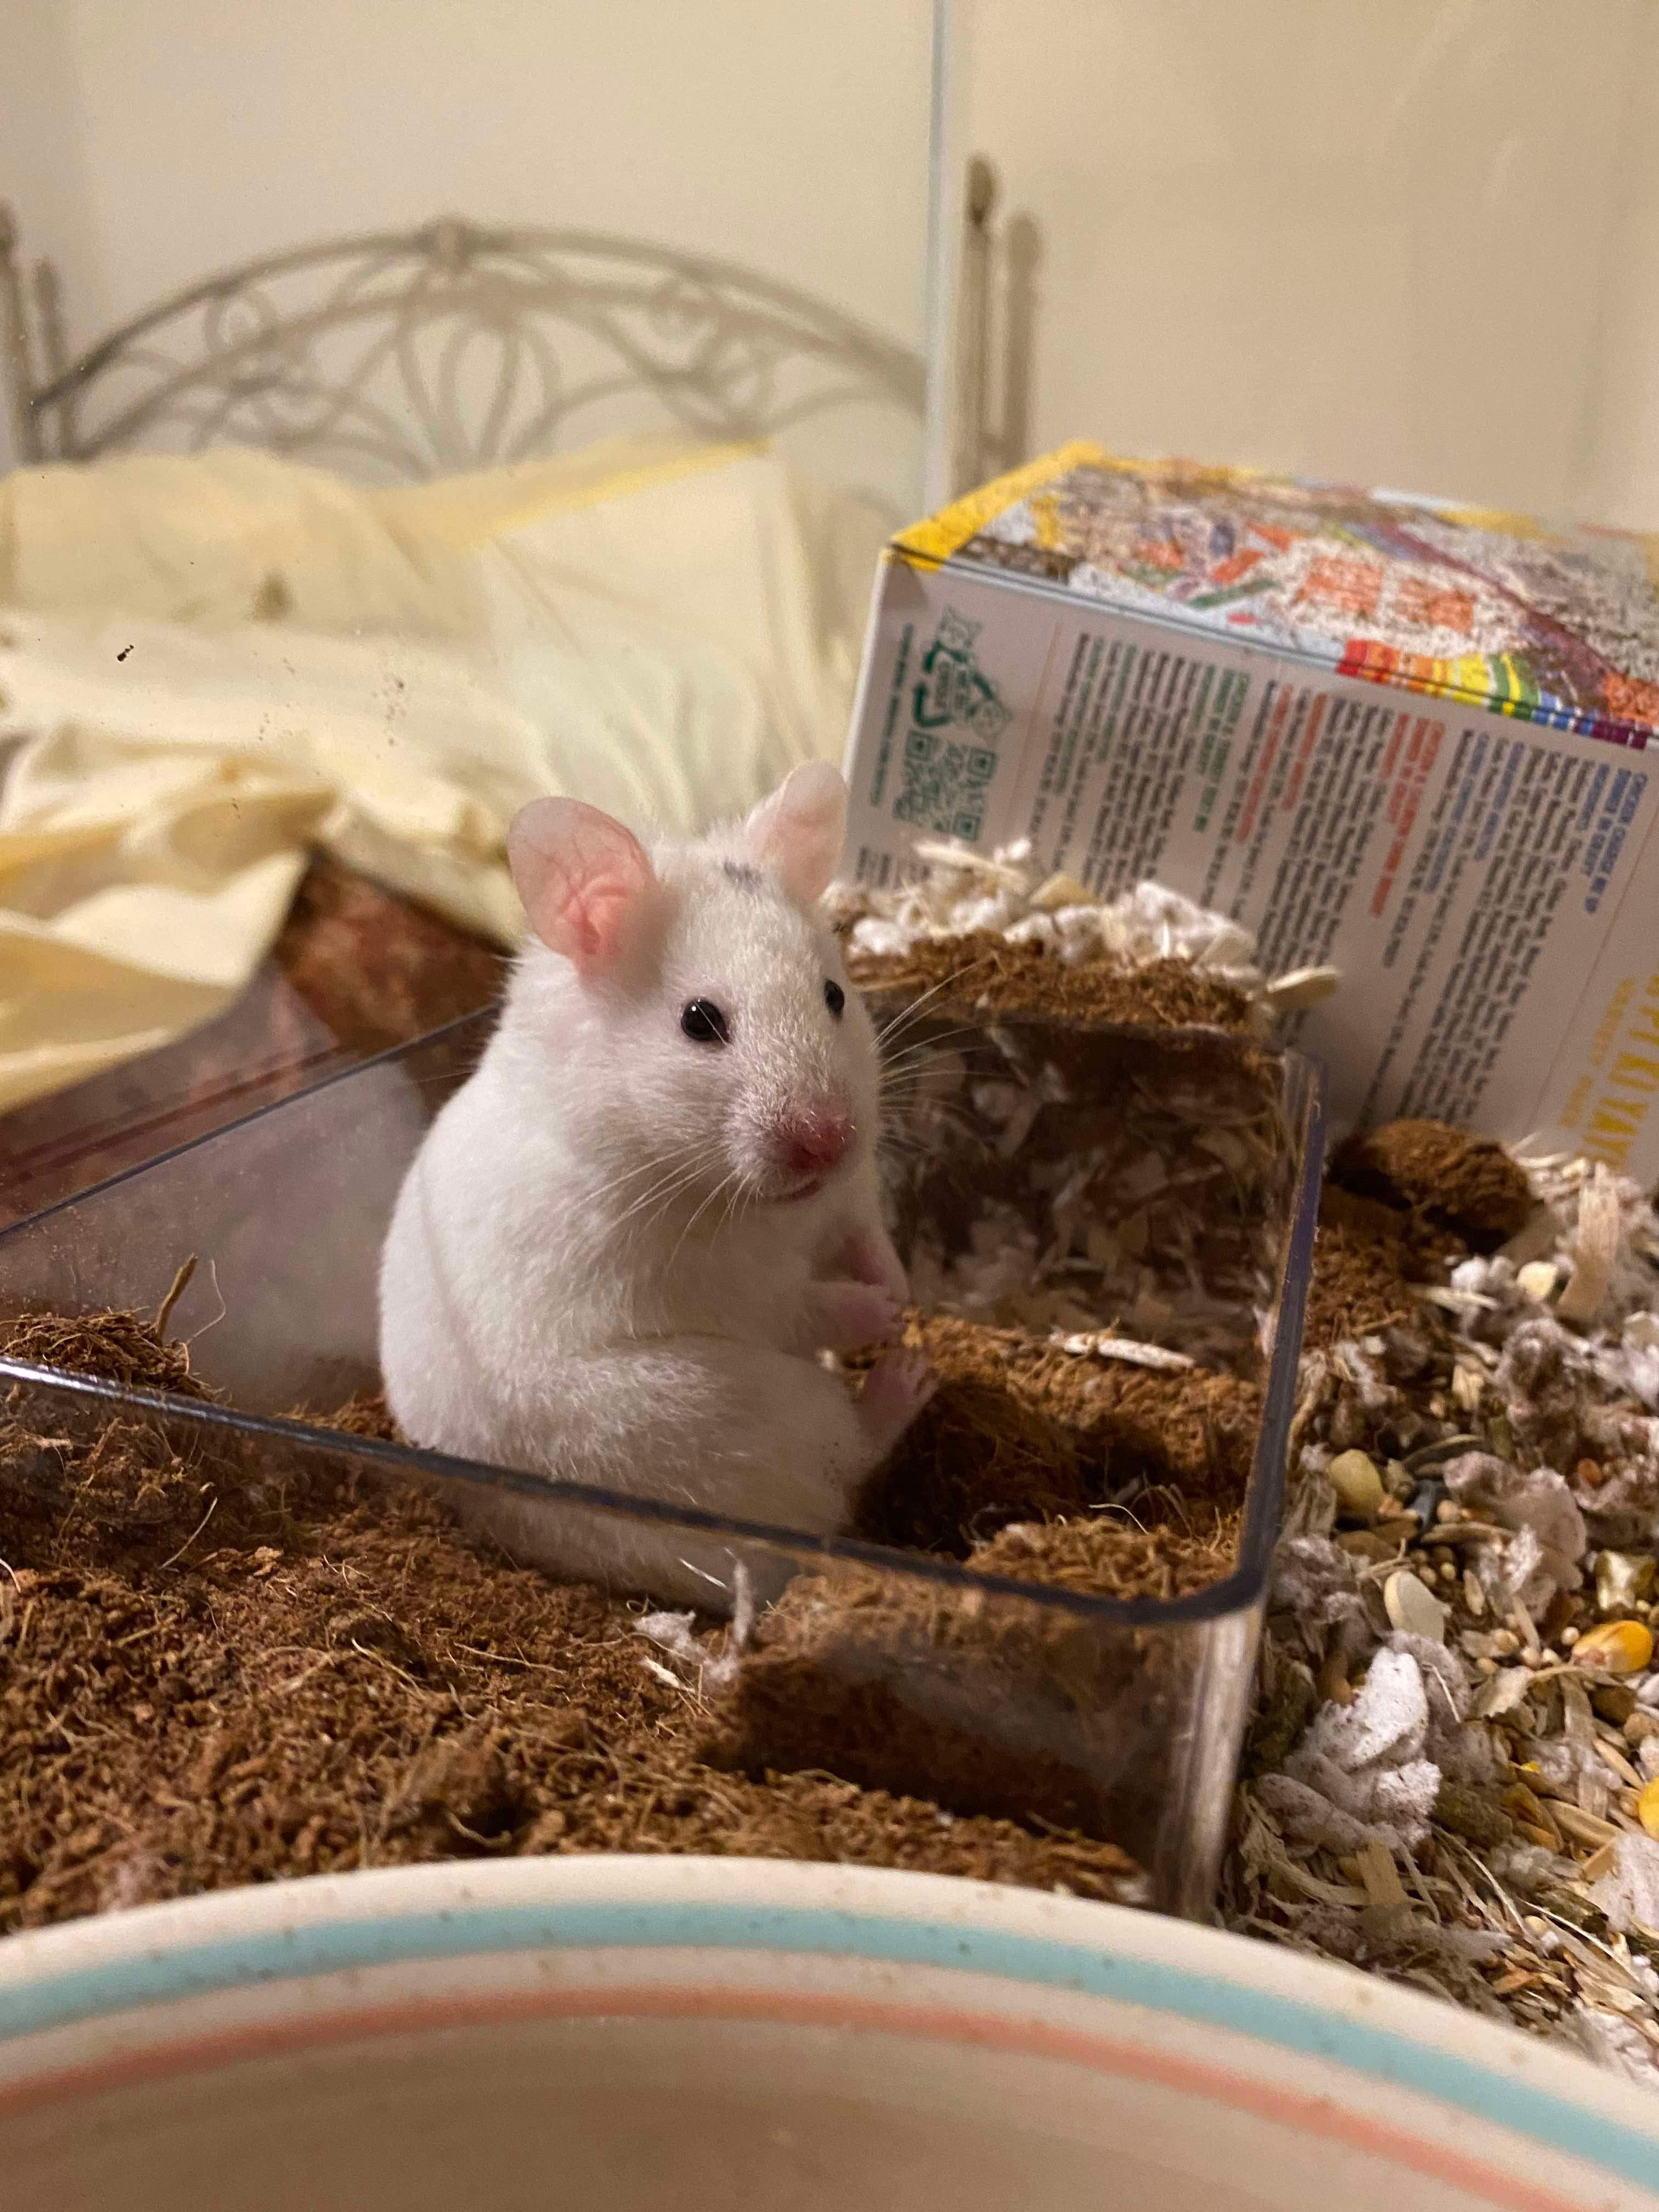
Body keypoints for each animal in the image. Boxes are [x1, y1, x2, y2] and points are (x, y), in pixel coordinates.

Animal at [377, 760, 934, 1607]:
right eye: (699, 1021)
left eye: (835, 995)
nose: (828, 1140)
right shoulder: (733, 1291)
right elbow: (811, 1306)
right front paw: (890, 1316)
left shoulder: (848, 1200)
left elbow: (870, 1238)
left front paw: (905, 1295)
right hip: (761, 1411)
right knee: (854, 1456)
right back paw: (909, 1376)